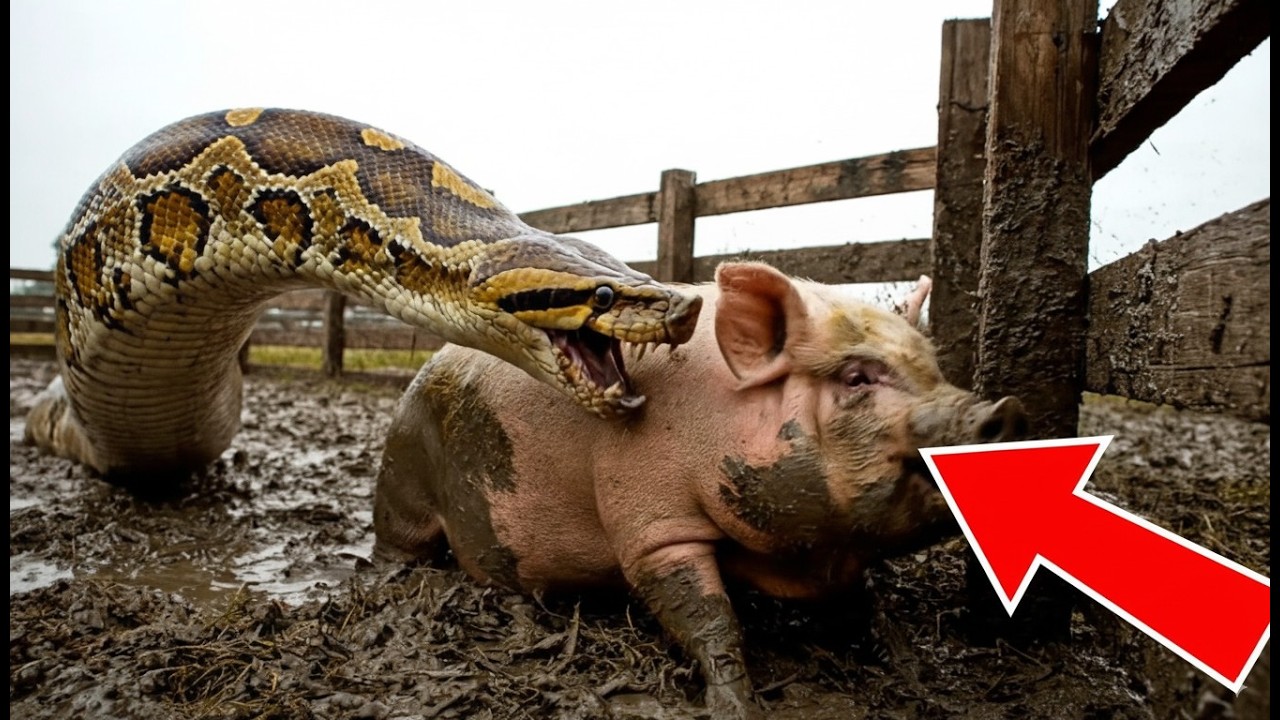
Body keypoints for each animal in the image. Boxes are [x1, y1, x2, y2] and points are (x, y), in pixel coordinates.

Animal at [374, 262, 1027, 717]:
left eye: (933, 372)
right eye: (856, 377)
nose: (1003, 411)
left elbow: (871, 608)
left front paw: (924, 683)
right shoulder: (652, 525)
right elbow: (708, 617)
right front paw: (738, 708)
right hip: (400, 474)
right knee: (396, 543)